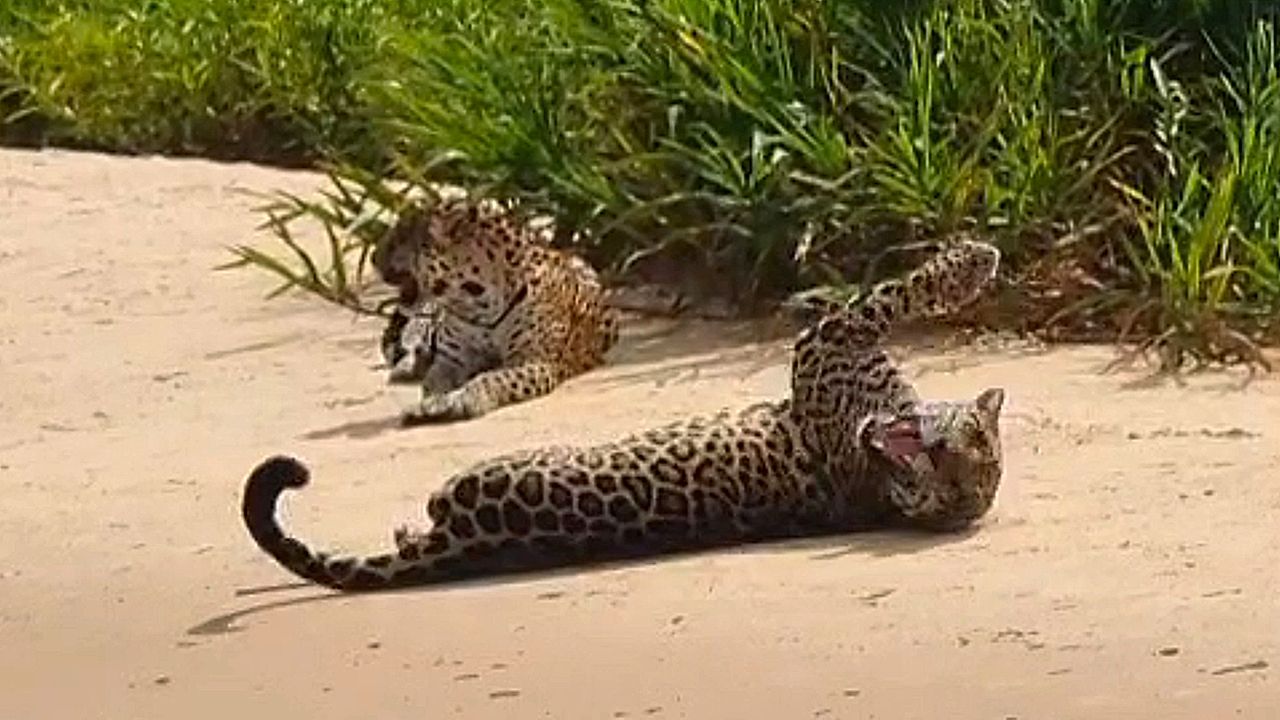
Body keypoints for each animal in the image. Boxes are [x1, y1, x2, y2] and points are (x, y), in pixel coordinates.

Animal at [241, 239, 1005, 591]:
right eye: (963, 446)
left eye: (957, 486)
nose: (936, 458)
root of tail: (463, 546)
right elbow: (887, 299)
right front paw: (974, 262)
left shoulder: (824, 345)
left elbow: (888, 297)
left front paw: (970, 265)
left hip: (470, 480)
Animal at [373, 196, 620, 425]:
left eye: (399, 239)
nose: (373, 258)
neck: (477, 302)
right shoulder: (452, 359)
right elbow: (433, 381)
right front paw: (430, 402)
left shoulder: (534, 361)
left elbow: (494, 379)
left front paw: (466, 400)